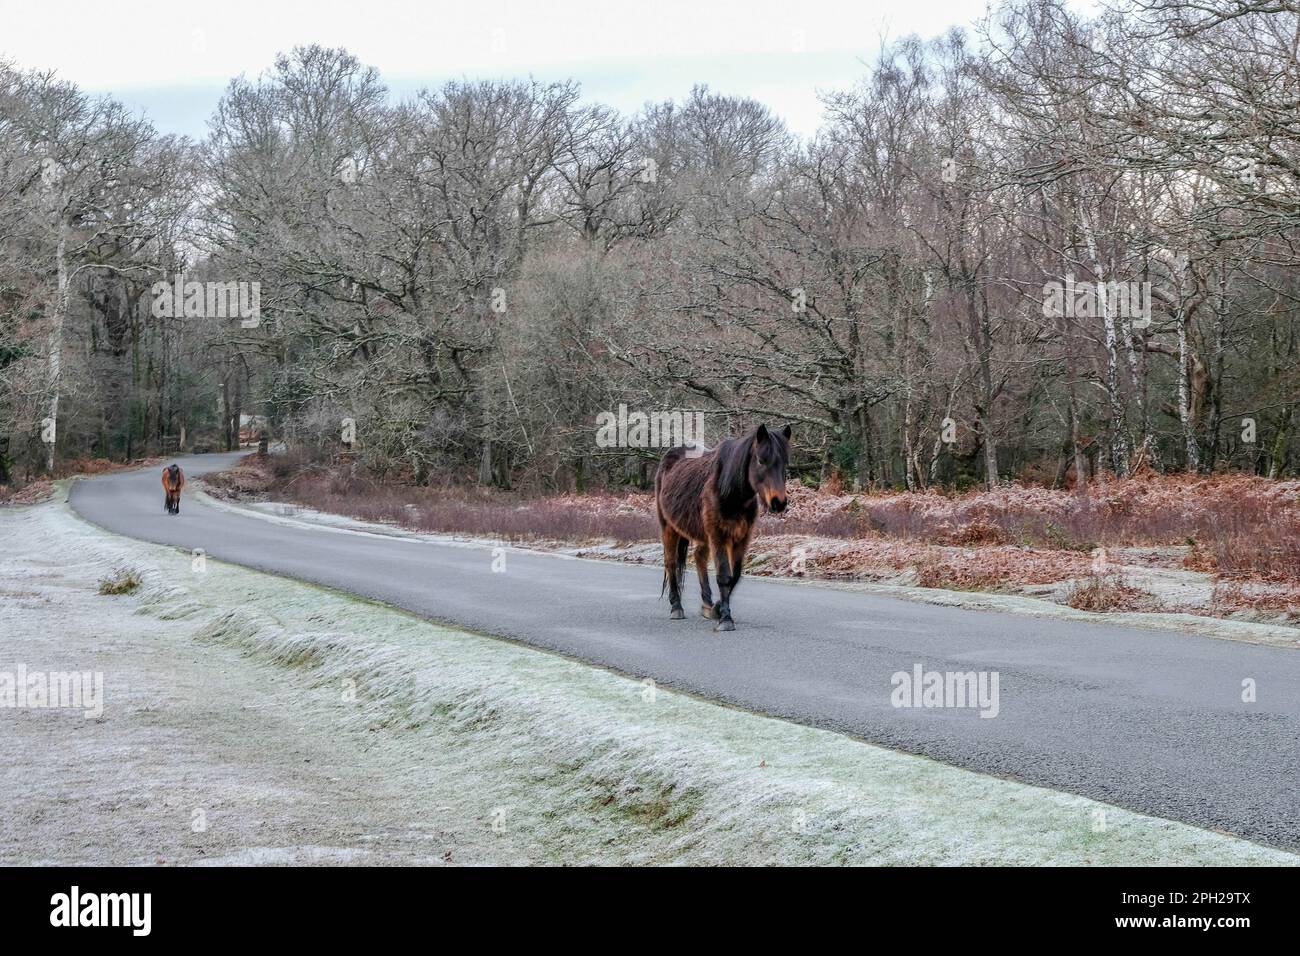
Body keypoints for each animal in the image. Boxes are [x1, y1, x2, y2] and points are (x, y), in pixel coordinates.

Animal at [654, 423, 791, 632]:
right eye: (761, 460)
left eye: (785, 463)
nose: (779, 503)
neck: (730, 492)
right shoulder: (719, 536)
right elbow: (724, 576)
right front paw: (726, 618)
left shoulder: (742, 538)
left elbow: (735, 575)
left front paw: (717, 609)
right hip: (669, 527)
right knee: (671, 563)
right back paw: (676, 608)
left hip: (702, 535)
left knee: (699, 557)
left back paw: (707, 605)